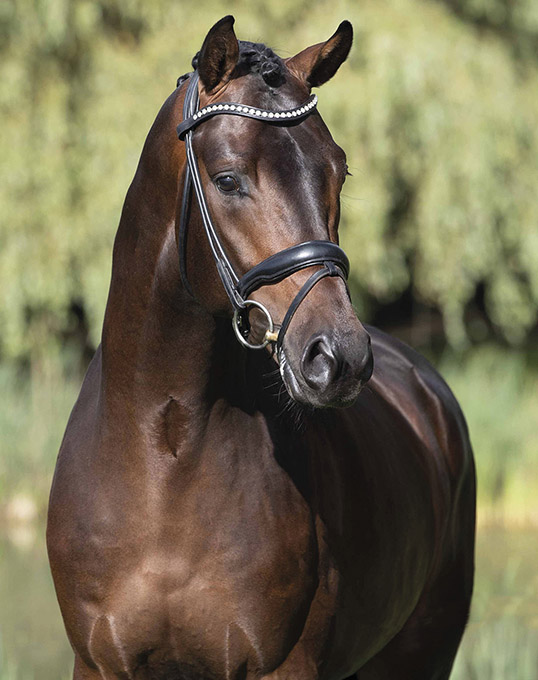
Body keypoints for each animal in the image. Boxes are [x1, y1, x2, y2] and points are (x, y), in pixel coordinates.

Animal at [47, 16, 476, 680]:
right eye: (227, 179)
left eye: (338, 171)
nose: (340, 358)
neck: (165, 460)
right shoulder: (98, 664)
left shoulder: (283, 666)